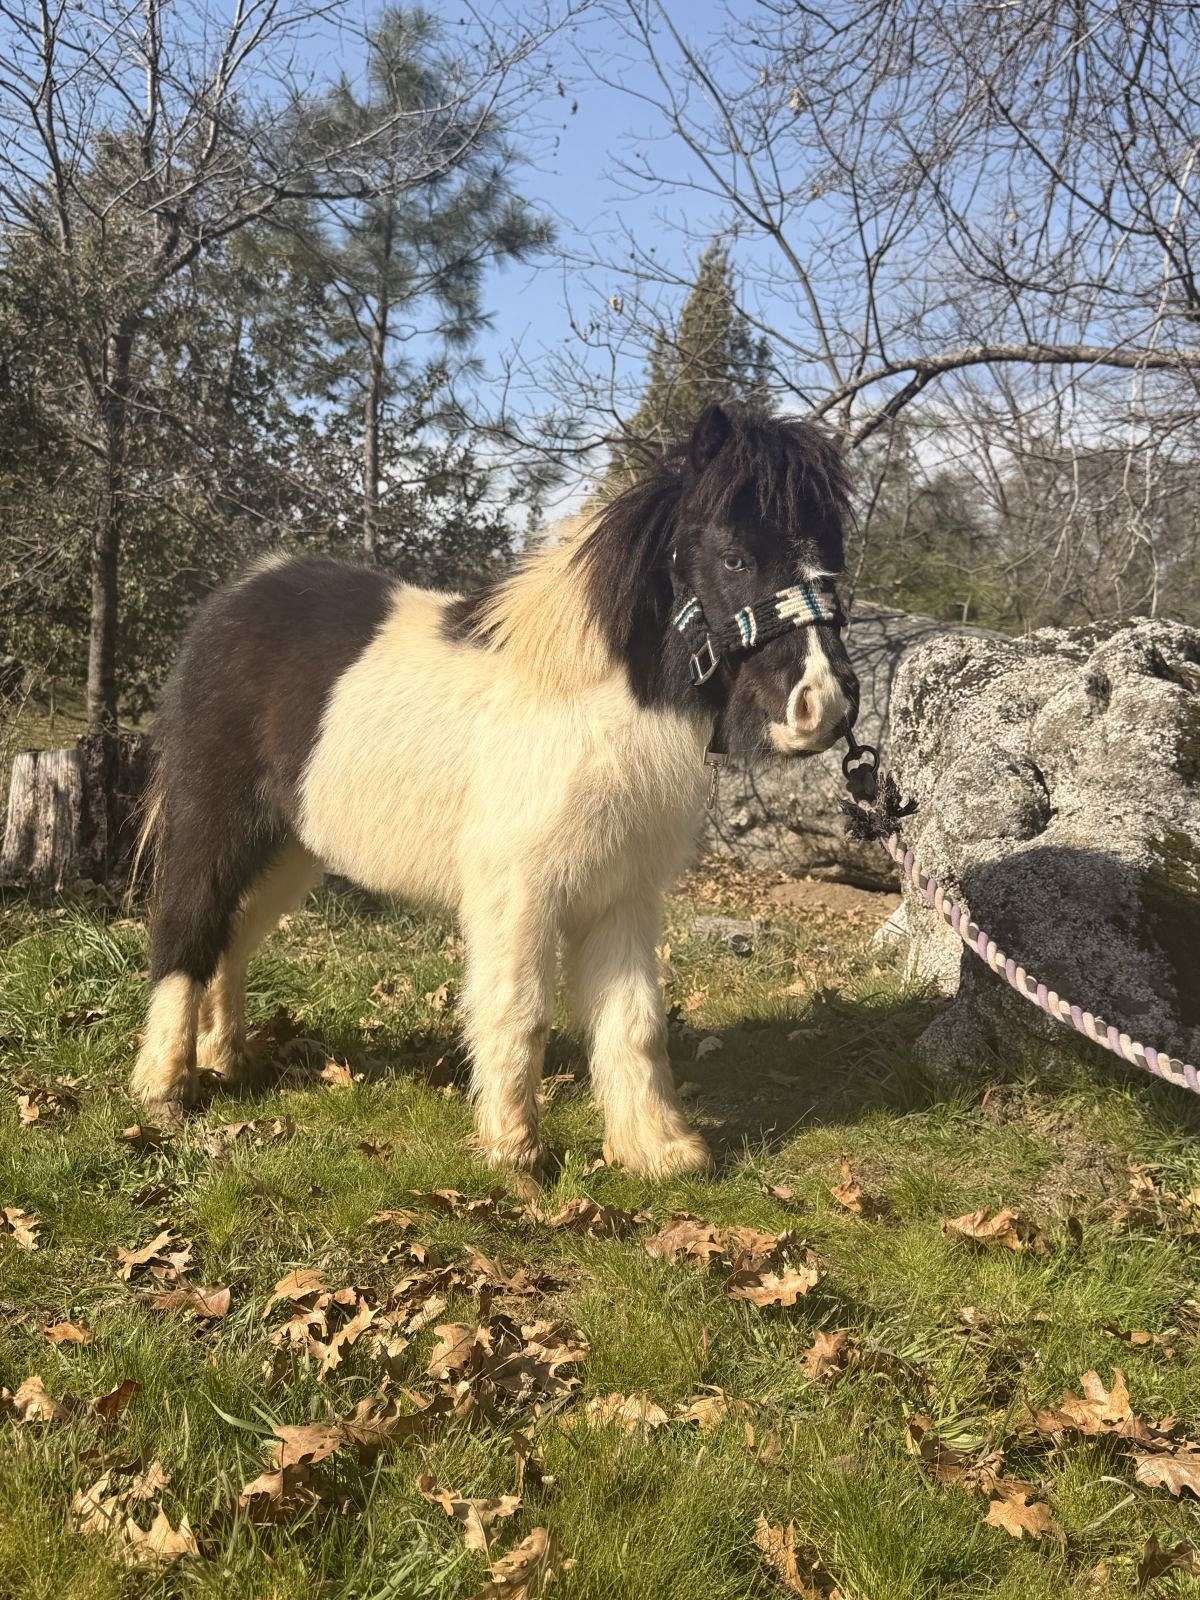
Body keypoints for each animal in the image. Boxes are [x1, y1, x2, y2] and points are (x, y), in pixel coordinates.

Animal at [130, 403, 859, 1176]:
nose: (825, 705)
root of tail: (233, 600)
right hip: (212, 823)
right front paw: (515, 1151)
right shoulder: (519, 890)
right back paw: (164, 1087)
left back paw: (227, 1060)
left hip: (290, 847)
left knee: (232, 939)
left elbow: (633, 1019)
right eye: (735, 557)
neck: (584, 701)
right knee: (187, 929)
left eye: (832, 560)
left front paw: (659, 1151)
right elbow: (519, 1006)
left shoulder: (622, 896)